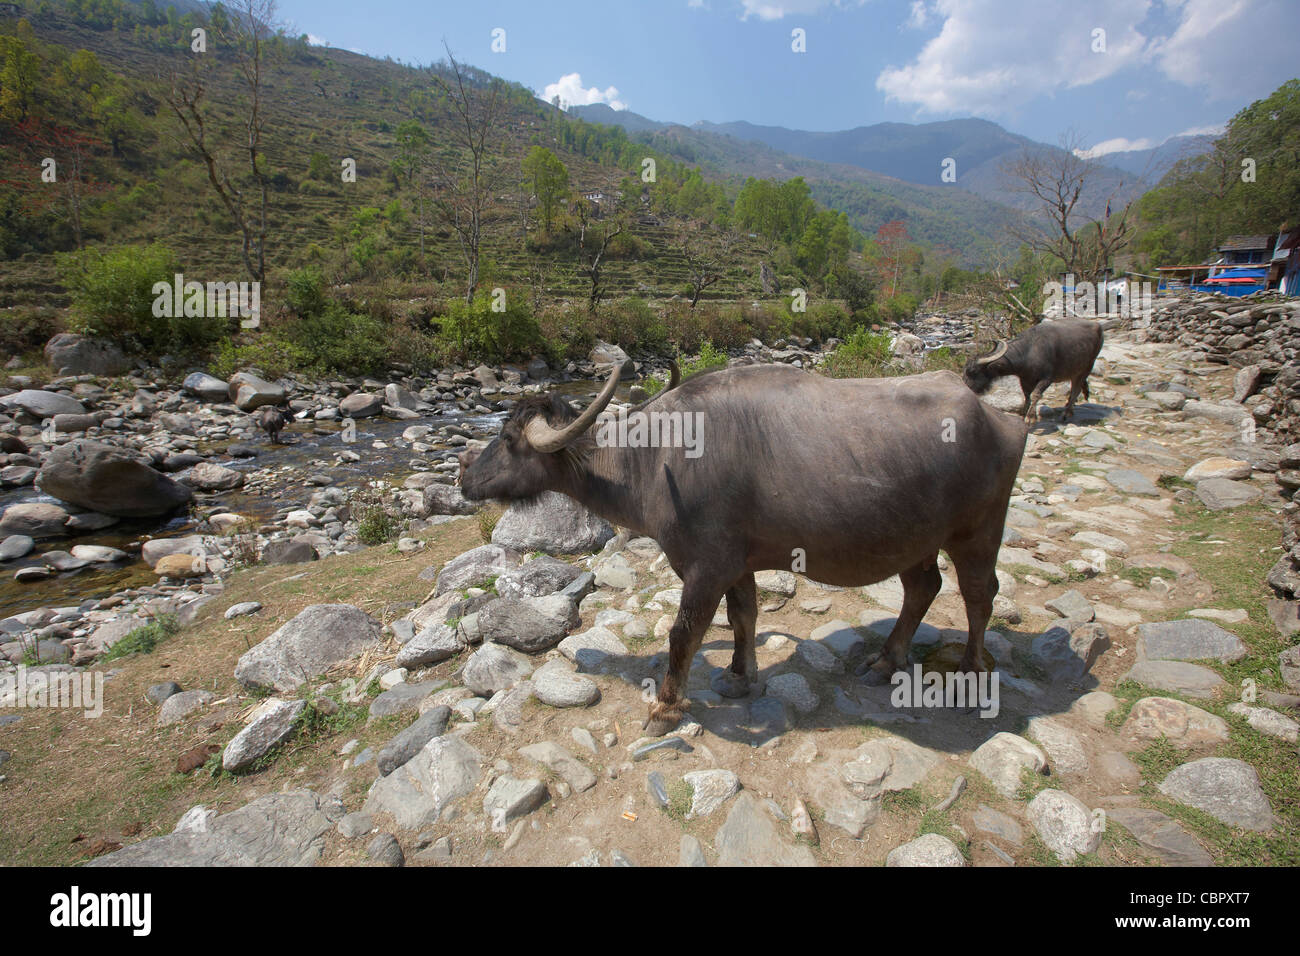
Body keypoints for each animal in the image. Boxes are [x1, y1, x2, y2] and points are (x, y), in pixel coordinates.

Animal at [459, 360, 1029, 736]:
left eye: (507, 439)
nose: (465, 476)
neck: (655, 459)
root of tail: (1002, 418)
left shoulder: (704, 568)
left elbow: (684, 634)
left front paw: (666, 707)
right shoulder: (739, 565)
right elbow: (743, 616)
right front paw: (739, 674)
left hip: (977, 534)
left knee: (979, 595)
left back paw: (972, 671)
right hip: (916, 542)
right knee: (923, 588)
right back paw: (886, 662)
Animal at [963, 318, 1104, 423]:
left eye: (972, 372)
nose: (966, 387)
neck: (1028, 352)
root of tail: (1098, 326)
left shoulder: (1047, 379)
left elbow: (1035, 394)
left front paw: (1030, 418)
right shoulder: (1024, 380)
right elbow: (1027, 396)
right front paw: (1022, 415)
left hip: (1088, 366)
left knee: (1076, 389)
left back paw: (1066, 413)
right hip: (1074, 370)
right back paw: (1070, 408)